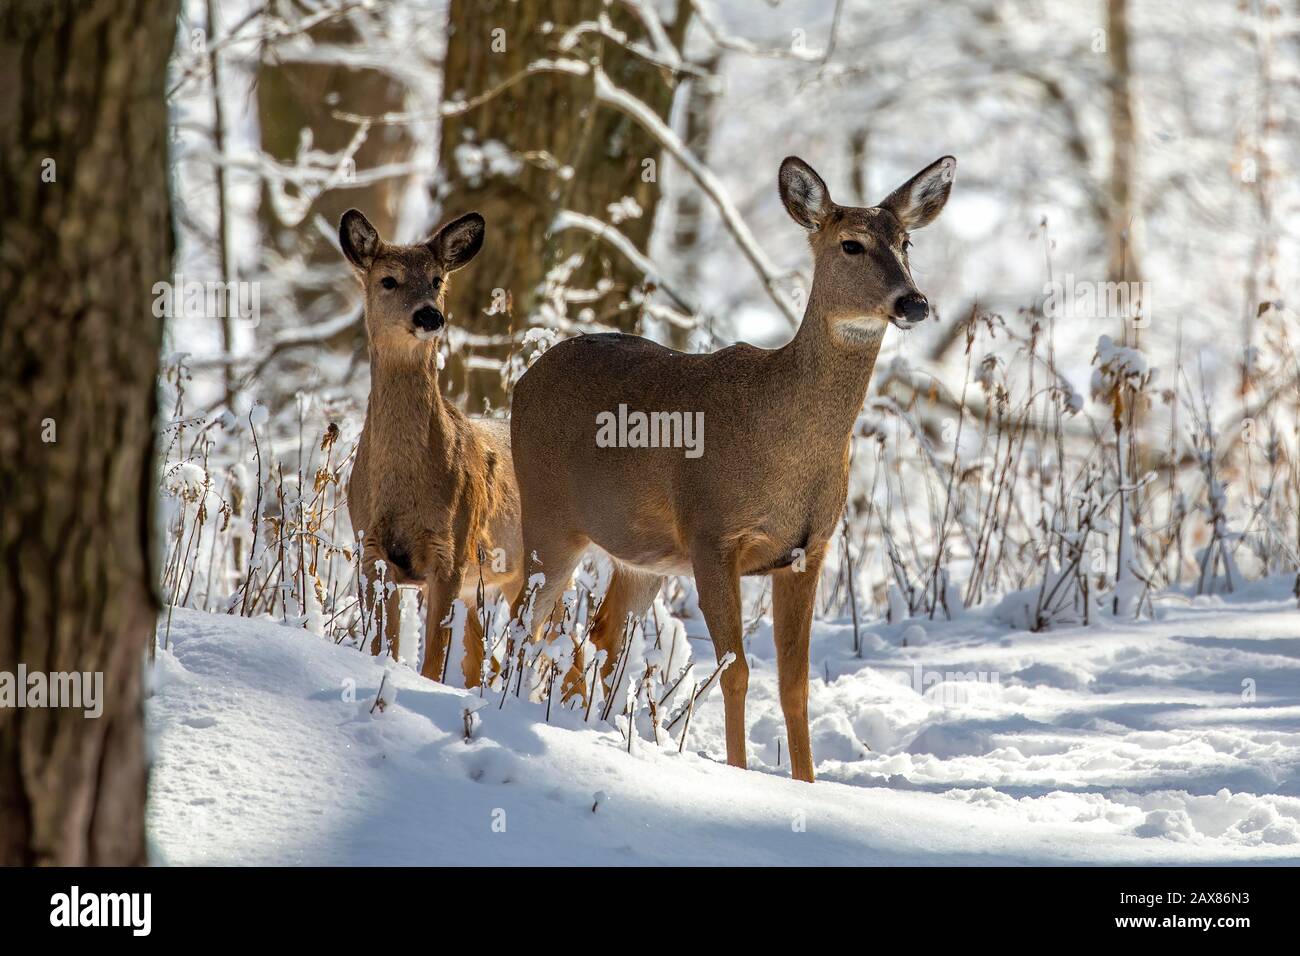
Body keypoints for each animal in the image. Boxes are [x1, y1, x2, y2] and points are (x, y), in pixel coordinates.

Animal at [340, 208, 526, 686]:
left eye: (438, 279)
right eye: (388, 280)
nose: (429, 316)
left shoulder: (450, 552)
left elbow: (431, 664)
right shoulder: (371, 550)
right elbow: (381, 647)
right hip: (483, 587)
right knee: (481, 659)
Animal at [506, 154, 955, 782]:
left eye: (907, 241)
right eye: (851, 244)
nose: (914, 302)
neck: (782, 443)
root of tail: (523, 380)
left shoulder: (809, 549)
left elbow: (795, 683)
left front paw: (807, 783)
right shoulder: (712, 534)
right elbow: (735, 671)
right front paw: (740, 775)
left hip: (643, 557)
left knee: (599, 634)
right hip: (549, 518)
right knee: (519, 620)